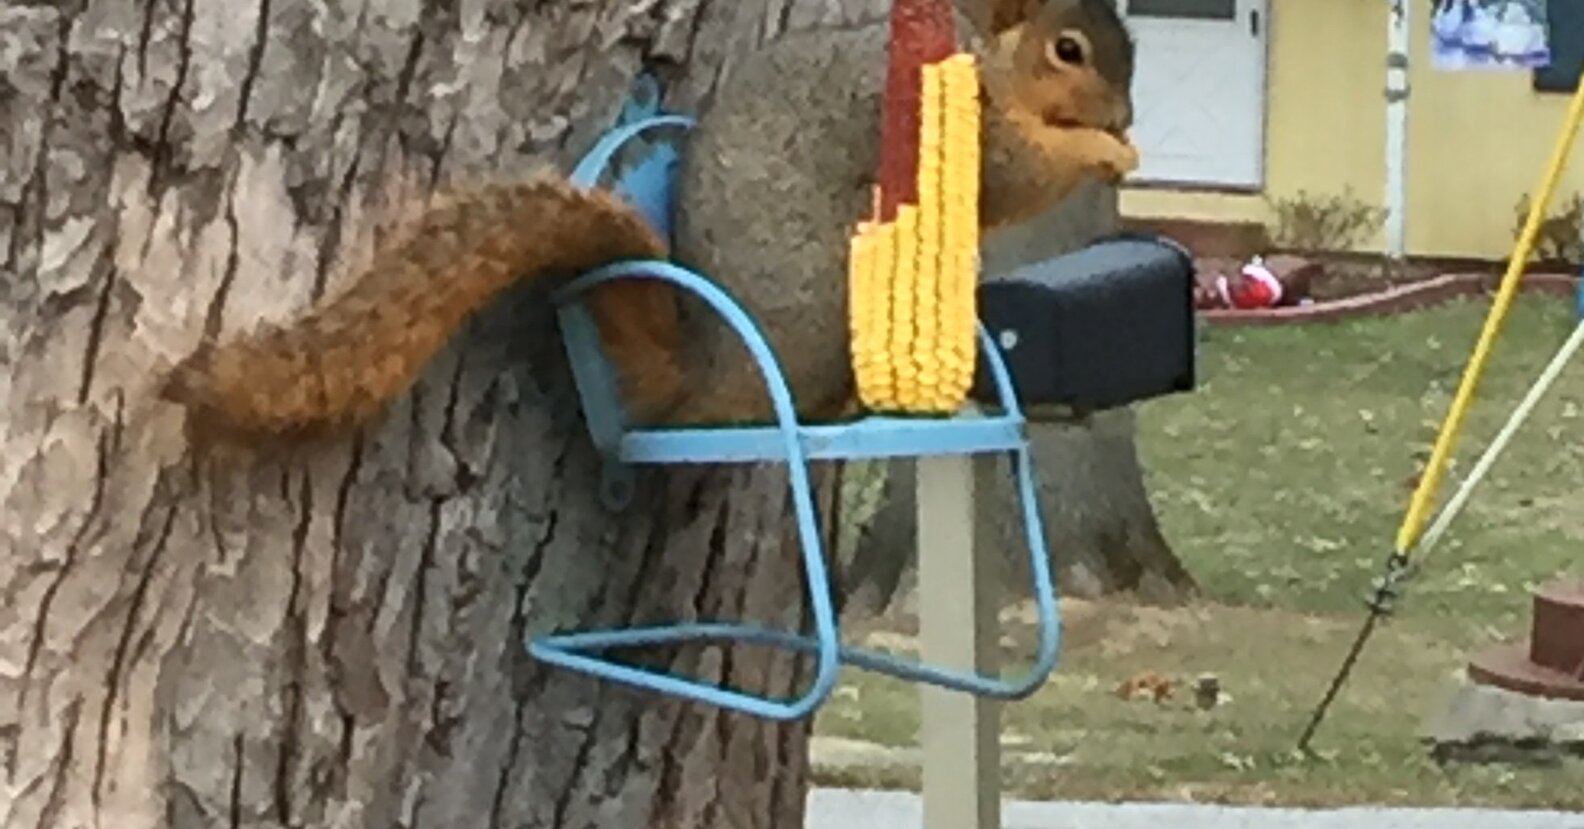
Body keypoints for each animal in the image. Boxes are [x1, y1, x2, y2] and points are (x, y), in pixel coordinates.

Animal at [160, 0, 1138, 440]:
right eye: (1069, 49)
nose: (1128, 114)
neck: (983, 60)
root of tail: (707, 378)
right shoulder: (963, 128)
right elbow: (1017, 175)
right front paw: (1104, 152)